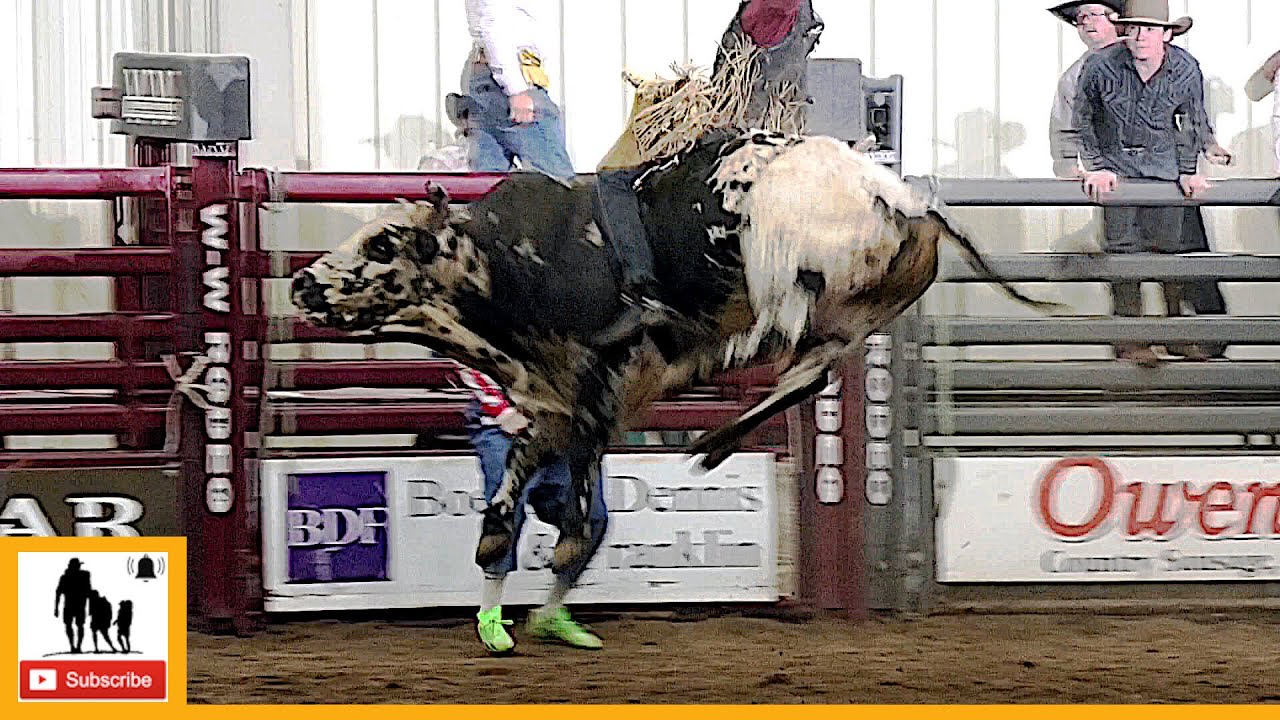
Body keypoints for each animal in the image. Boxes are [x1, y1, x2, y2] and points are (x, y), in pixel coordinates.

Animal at [291, 127, 1059, 574]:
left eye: (381, 244)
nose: (300, 283)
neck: (502, 265)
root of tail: (896, 194)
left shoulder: (597, 381)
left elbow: (583, 452)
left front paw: (571, 542)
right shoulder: (551, 394)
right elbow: (524, 459)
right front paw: (495, 535)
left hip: (786, 264)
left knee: (780, 338)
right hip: (857, 309)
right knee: (808, 369)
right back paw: (715, 440)